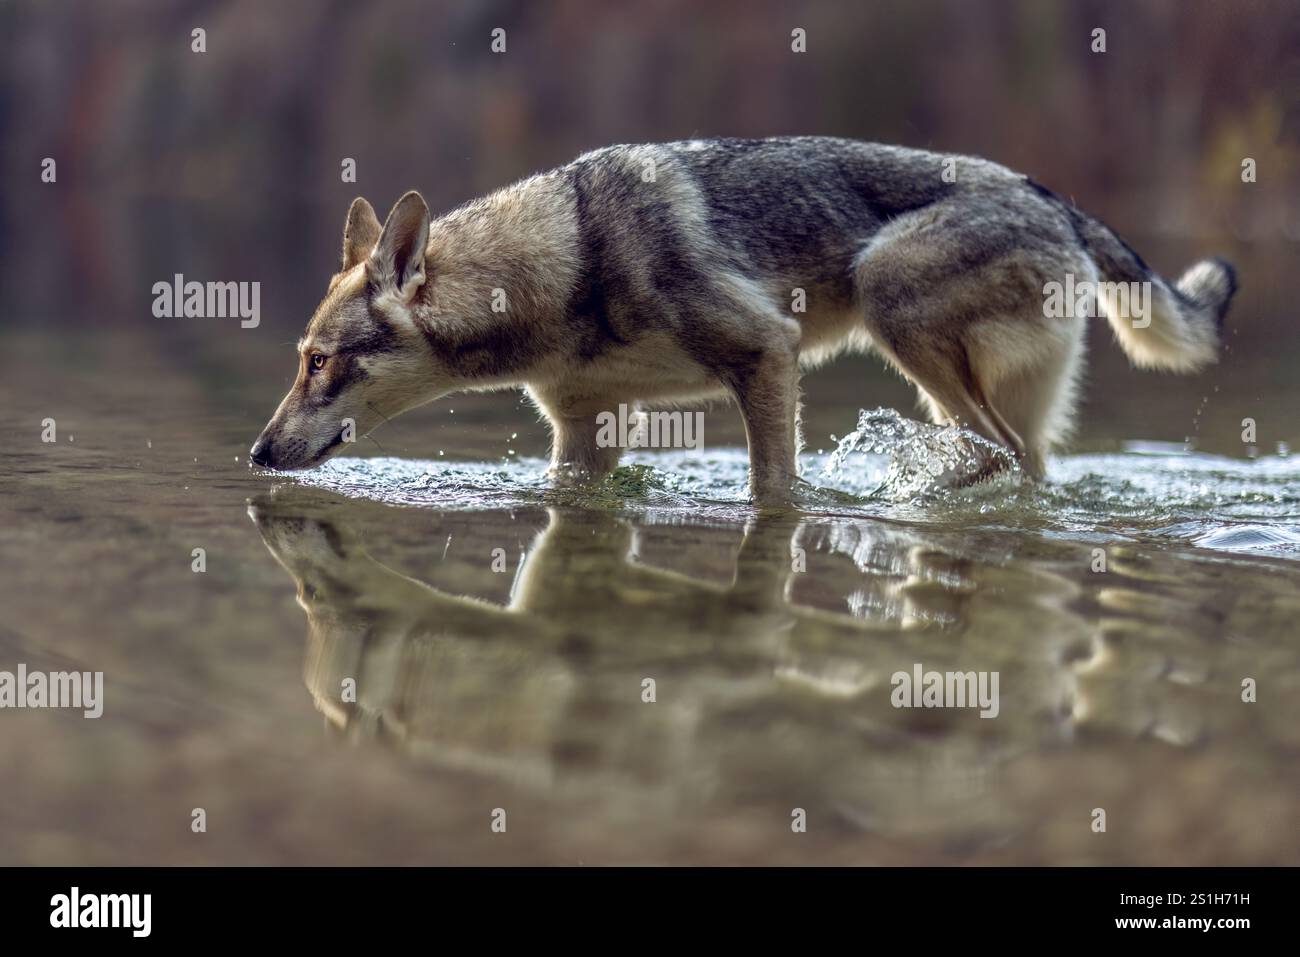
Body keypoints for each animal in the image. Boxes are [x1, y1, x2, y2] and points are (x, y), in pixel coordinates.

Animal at [250, 137, 1237, 503]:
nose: (254, 453)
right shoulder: (585, 434)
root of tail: (1053, 198)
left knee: (997, 456)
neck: (566, 261)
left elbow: (774, 491)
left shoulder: (768, 356)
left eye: (318, 362)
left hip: (891, 302)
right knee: (1027, 467)